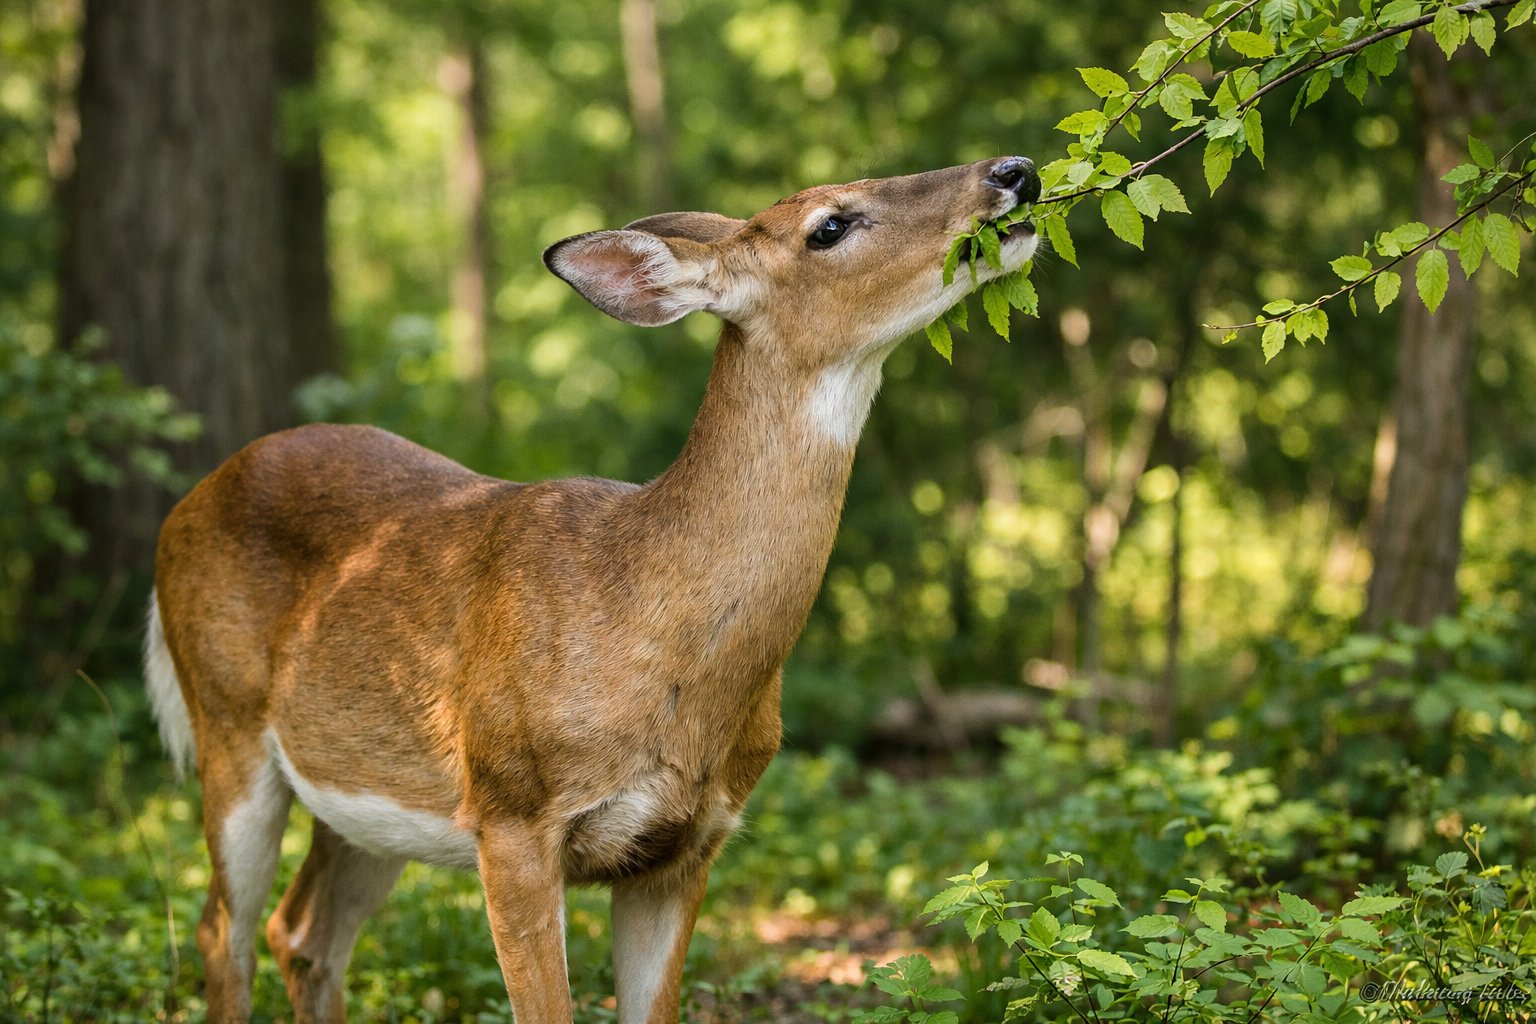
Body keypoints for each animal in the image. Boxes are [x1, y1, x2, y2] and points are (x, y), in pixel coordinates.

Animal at [145, 154, 1042, 1024]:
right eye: (829, 225)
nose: (1016, 170)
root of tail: (186, 504)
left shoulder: (688, 844)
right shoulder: (510, 811)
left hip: (366, 792)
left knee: (303, 933)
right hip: (227, 725)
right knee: (222, 927)